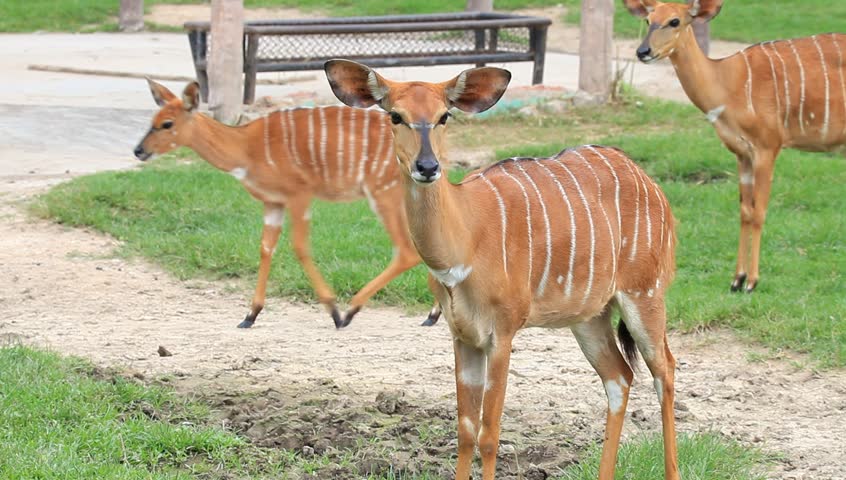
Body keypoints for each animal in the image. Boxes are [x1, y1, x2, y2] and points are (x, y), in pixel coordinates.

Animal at [133, 79, 443, 329]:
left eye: (167, 123)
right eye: (153, 118)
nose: (138, 151)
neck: (245, 148)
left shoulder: (299, 194)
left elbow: (300, 246)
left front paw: (333, 311)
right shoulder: (273, 202)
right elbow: (266, 247)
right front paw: (250, 315)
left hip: (382, 193)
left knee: (406, 250)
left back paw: (351, 312)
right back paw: (431, 314)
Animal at [324, 59, 680, 480]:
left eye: (444, 116)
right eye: (395, 115)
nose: (427, 166)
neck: (465, 236)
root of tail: (651, 184)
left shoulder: (502, 334)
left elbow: (489, 433)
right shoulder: (462, 335)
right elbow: (464, 430)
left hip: (645, 294)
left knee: (665, 370)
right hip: (589, 316)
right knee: (619, 376)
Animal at [624, 0, 846, 293]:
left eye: (675, 21)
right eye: (649, 20)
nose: (643, 52)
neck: (728, 83)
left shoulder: (767, 147)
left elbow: (759, 211)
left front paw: (752, 281)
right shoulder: (742, 154)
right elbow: (744, 211)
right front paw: (736, 279)